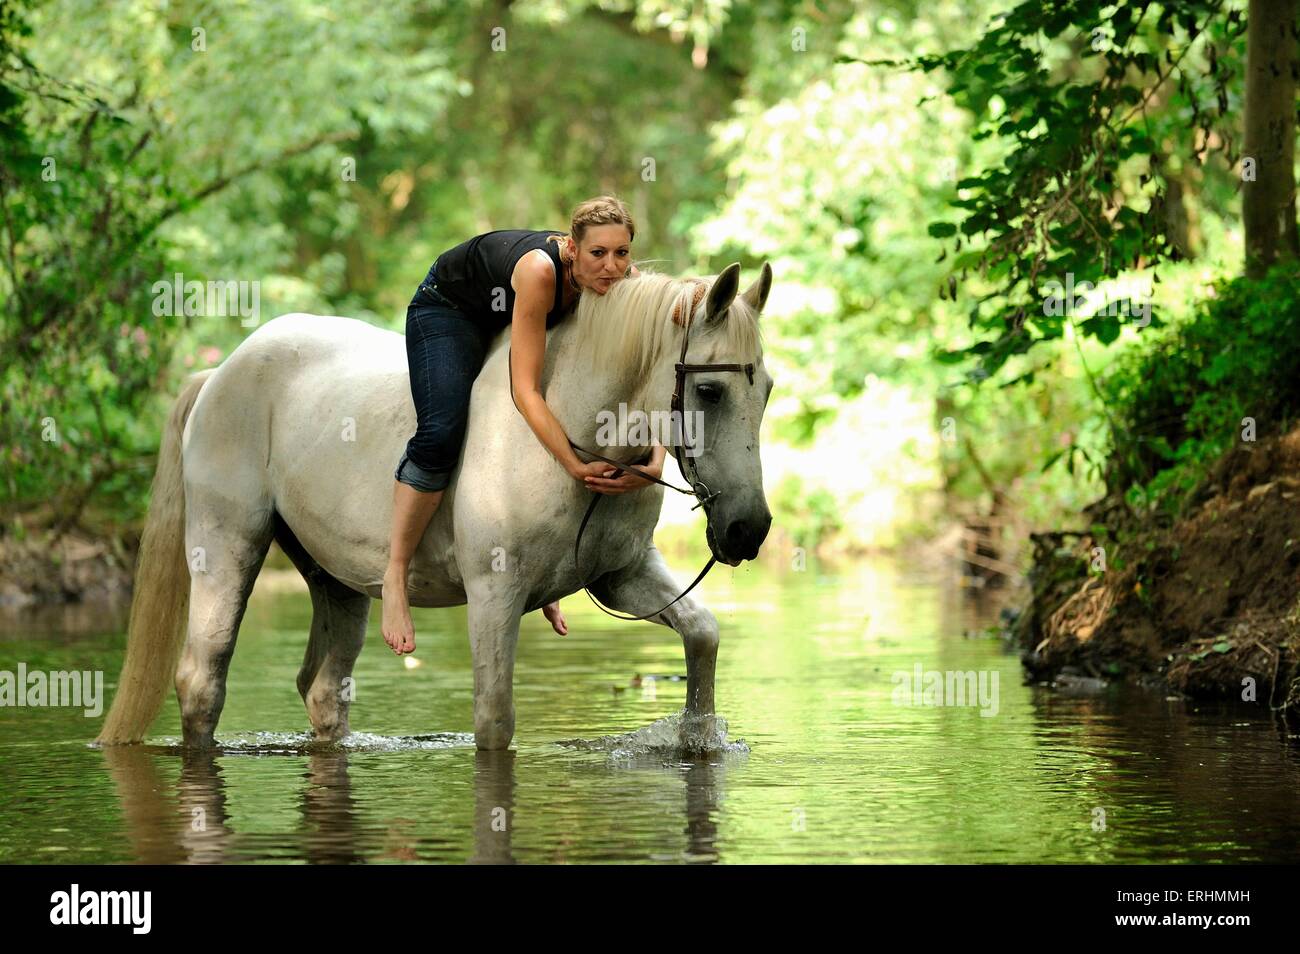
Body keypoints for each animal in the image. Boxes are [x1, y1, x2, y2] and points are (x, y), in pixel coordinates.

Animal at [96, 262, 773, 751]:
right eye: (709, 390)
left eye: (766, 389)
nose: (749, 530)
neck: (565, 428)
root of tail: (217, 375)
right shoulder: (495, 595)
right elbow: (494, 719)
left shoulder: (622, 575)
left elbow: (703, 635)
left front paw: (695, 737)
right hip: (226, 547)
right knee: (202, 681)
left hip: (334, 577)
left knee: (323, 691)